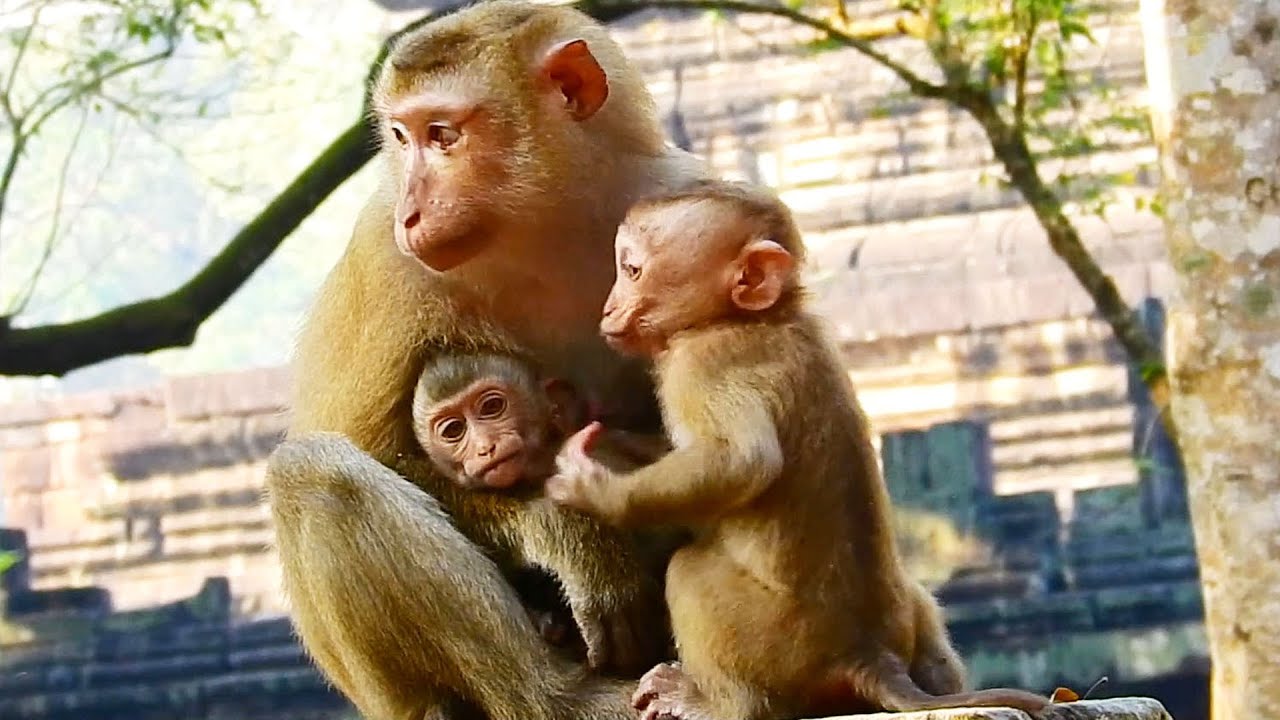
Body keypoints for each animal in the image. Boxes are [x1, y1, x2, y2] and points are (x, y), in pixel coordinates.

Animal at [261, 3, 709, 719]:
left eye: (442, 135)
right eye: (401, 135)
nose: (411, 210)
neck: (542, 227)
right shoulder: (387, 260)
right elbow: (361, 444)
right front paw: (566, 529)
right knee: (314, 475)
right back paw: (559, 698)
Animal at [545, 180, 1053, 720]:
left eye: (633, 270)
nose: (607, 308)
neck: (761, 316)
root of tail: (869, 654)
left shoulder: (701, 363)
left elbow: (741, 462)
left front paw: (591, 486)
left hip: (776, 641)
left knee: (689, 572)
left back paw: (707, 702)